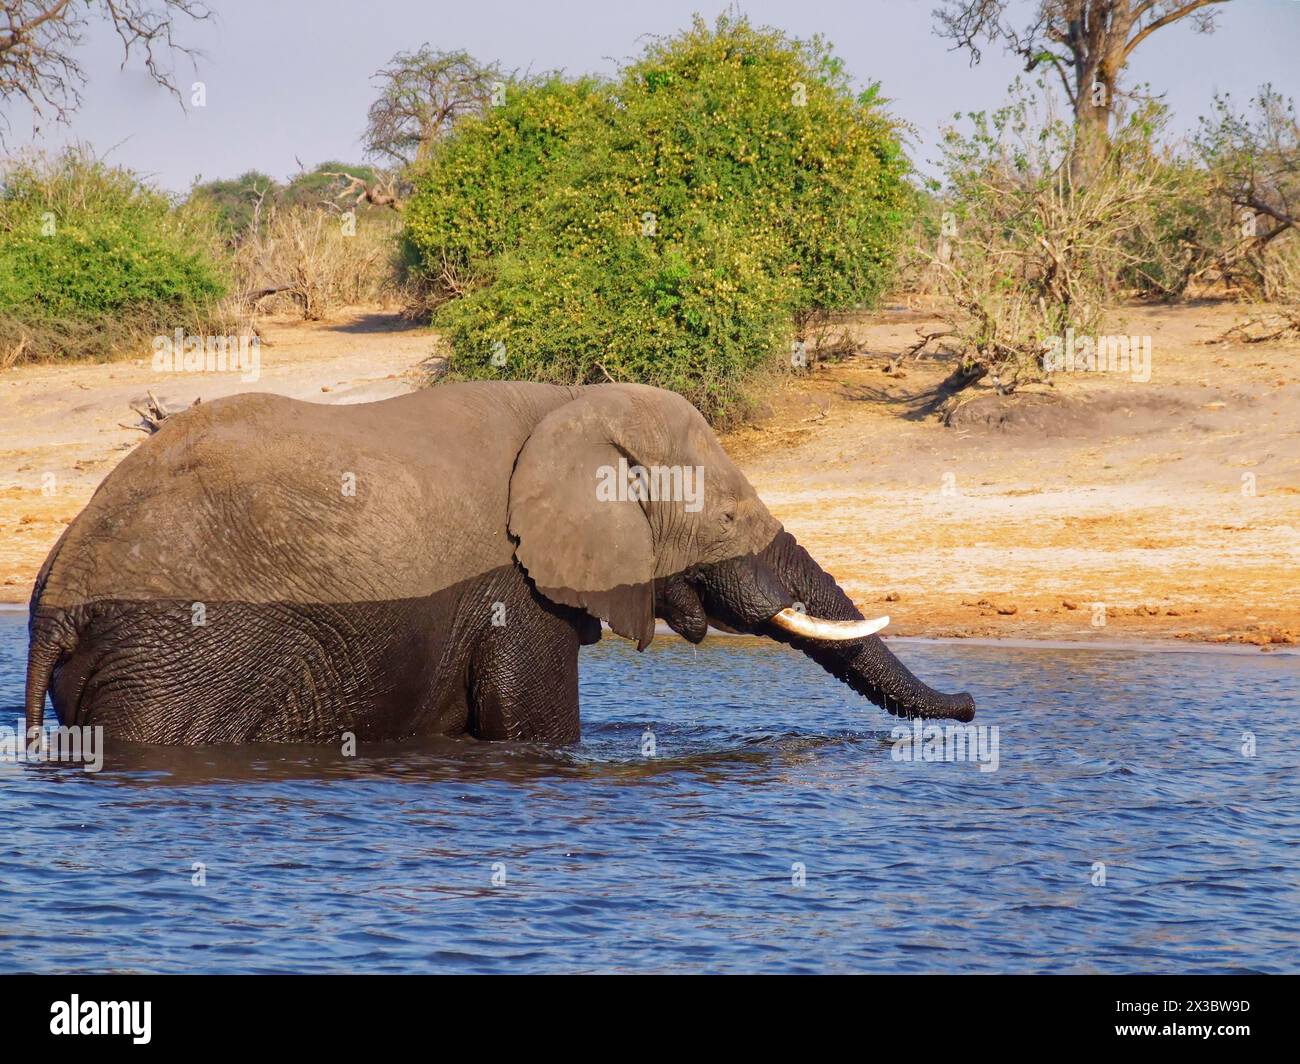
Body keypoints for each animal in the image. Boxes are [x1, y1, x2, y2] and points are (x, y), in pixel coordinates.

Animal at [25, 382, 974, 744]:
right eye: (734, 517)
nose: (970, 707)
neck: (571, 403)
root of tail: (53, 601)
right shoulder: (511, 586)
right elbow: (532, 724)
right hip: (180, 654)